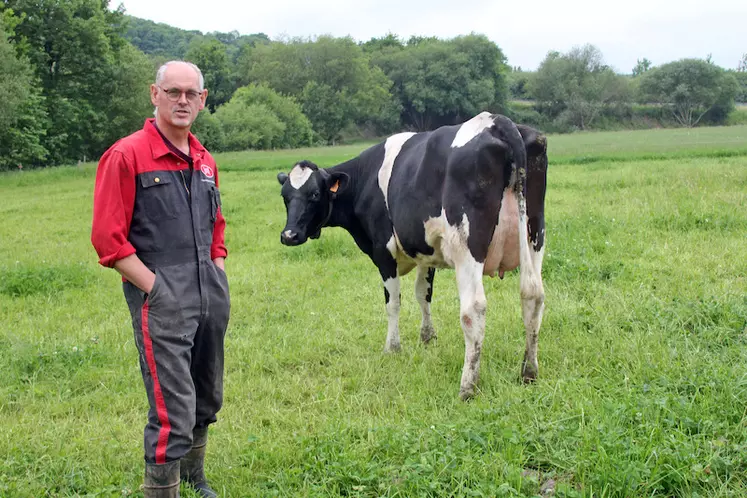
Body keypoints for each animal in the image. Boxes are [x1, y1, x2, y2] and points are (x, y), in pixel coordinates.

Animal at [277, 112, 547, 400]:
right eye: (285, 197)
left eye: (315, 194)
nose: (289, 235)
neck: (365, 179)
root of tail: (497, 121)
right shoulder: (426, 251)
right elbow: (422, 293)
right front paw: (428, 337)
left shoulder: (383, 251)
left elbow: (393, 302)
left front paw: (392, 347)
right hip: (535, 233)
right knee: (533, 295)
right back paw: (529, 372)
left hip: (467, 245)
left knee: (473, 309)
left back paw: (468, 386)